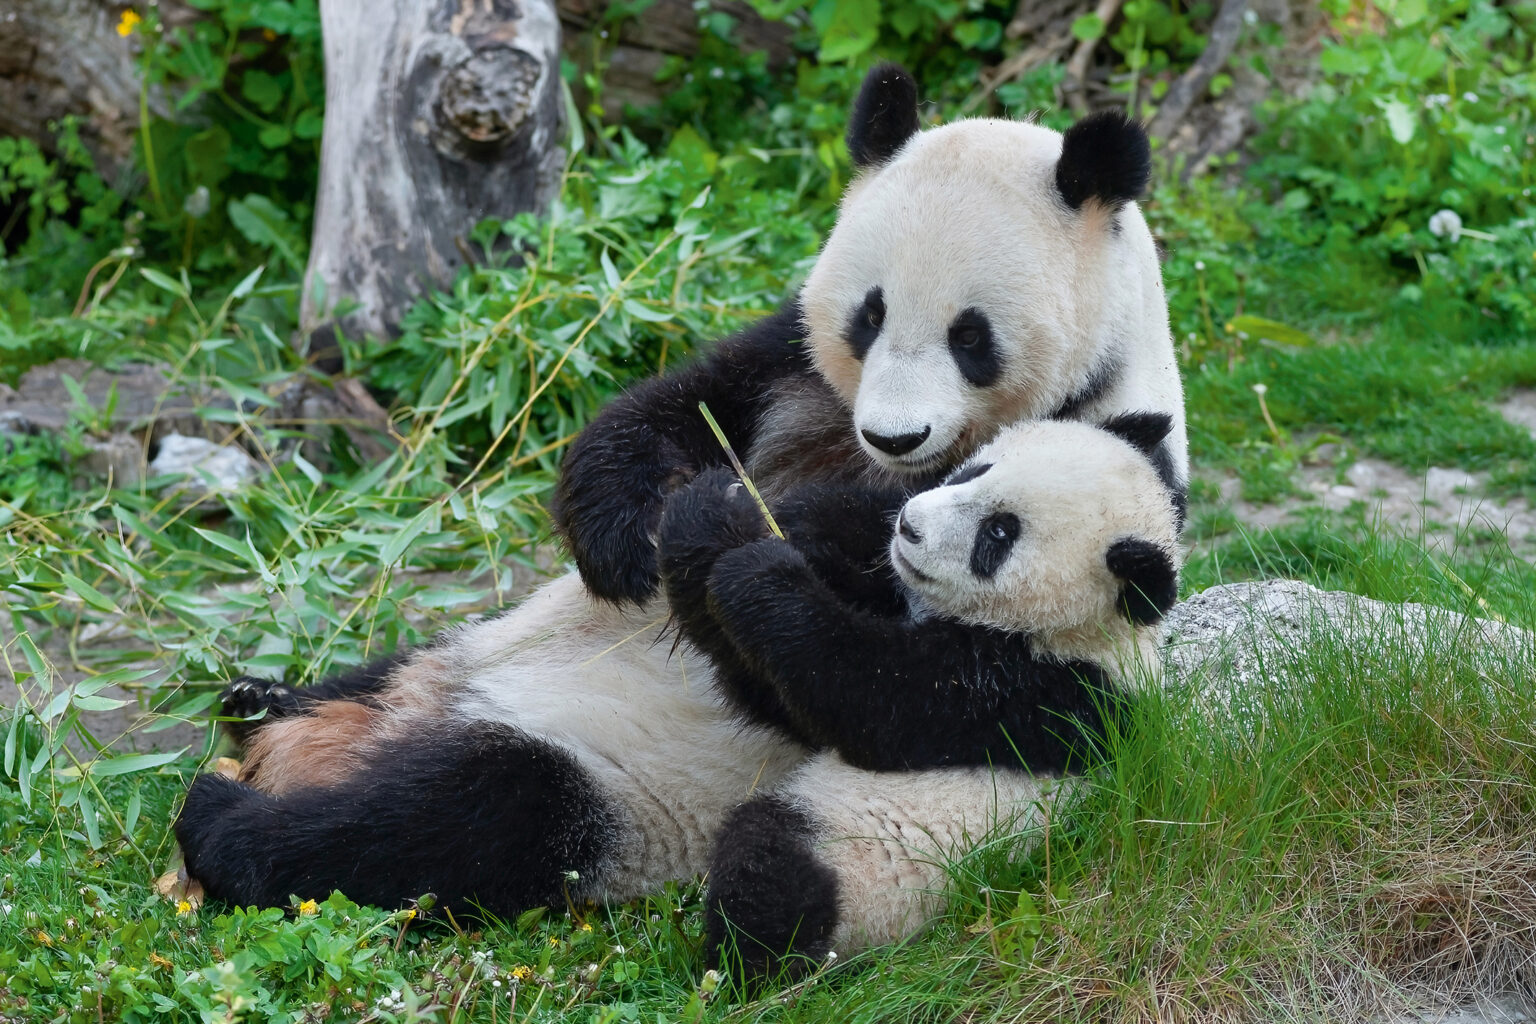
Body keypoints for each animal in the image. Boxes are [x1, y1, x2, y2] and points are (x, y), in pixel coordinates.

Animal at [552, 62, 1187, 613]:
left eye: (971, 337)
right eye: (871, 315)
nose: (894, 437)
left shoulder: (1108, 435)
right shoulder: (790, 367)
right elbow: (688, 402)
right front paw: (625, 540)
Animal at [653, 414, 1182, 978]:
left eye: (997, 534)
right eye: (973, 470)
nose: (908, 526)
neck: (1086, 632)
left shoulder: (1045, 695)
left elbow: (865, 695)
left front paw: (759, 571)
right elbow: (770, 689)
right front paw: (714, 512)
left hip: (859, 866)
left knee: (772, 867)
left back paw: (746, 962)